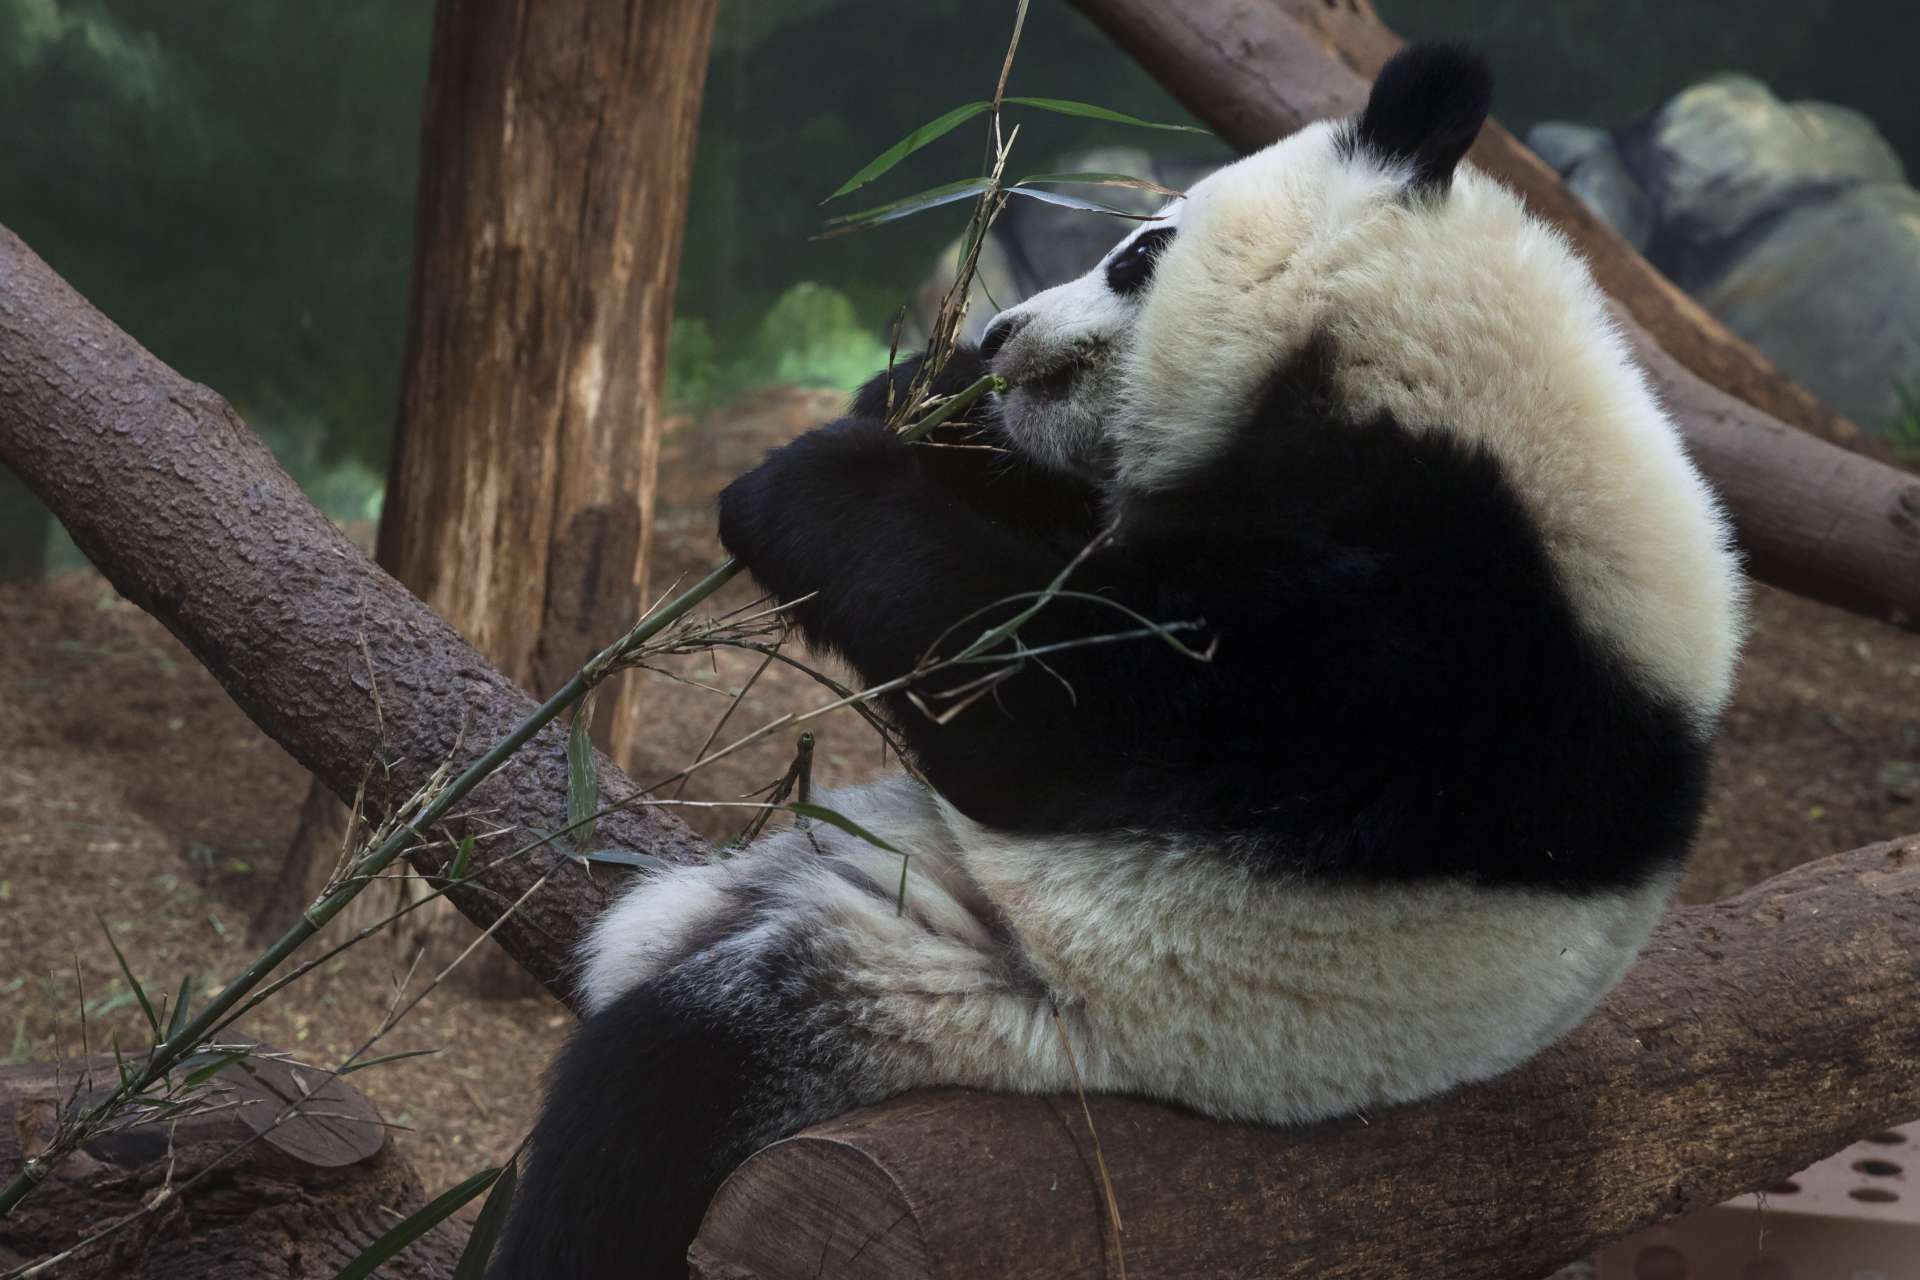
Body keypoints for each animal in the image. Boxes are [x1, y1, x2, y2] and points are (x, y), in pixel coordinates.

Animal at [489, 44, 1745, 1279]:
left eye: (1139, 253)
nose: (1001, 334)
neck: (1437, 367)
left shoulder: (1440, 635)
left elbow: (1065, 707)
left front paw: (808, 475)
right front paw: (918, 395)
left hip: (996, 1009)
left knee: (655, 1093)